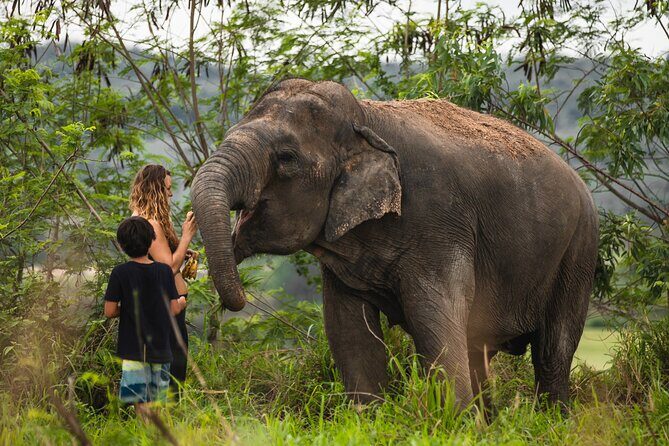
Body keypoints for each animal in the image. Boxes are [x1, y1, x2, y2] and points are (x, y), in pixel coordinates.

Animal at [191, 78, 599, 409]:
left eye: (286, 158)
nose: (238, 300)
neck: (366, 118)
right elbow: (348, 329)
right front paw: (368, 418)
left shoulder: (441, 223)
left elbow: (434, 319)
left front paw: (454, 424)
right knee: (478, 348)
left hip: (579, 250)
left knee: (553, 351)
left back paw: (551, 420)